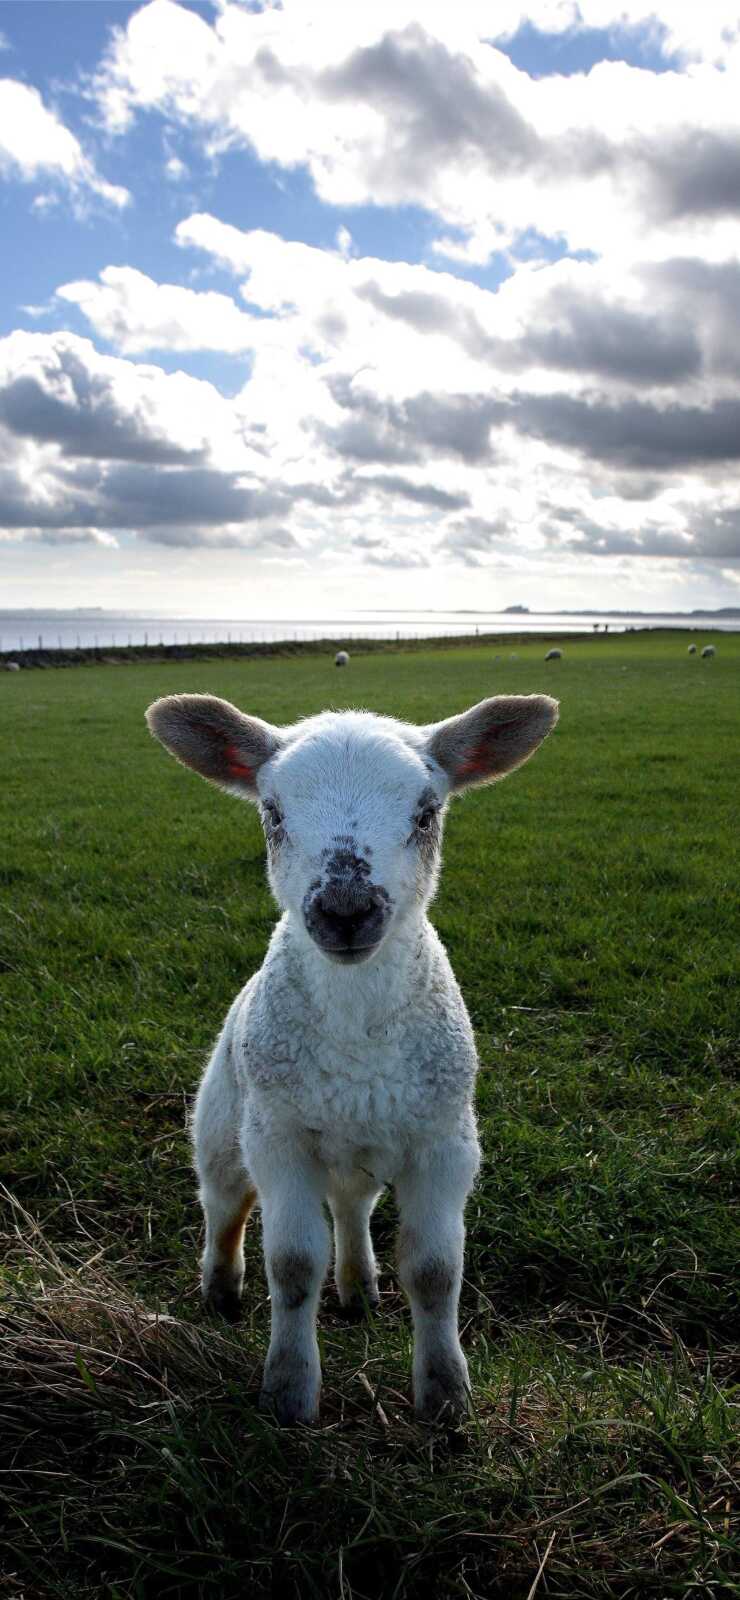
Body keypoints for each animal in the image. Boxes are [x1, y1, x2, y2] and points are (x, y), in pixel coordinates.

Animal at [146, 691, 559, 1425]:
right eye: (272, 812)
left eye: (427, 813)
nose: (345, 909)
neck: (357, 1038)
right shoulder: (279, 1140)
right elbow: (291, 1266)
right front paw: (288, 1392)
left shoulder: (445, 1144)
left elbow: (434, 1272)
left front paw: (445, 1395)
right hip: (223, 1122)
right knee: (223, 1204)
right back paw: (220, 1292)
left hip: (355, 1148)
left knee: (351, 1207)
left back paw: (358, 1285)